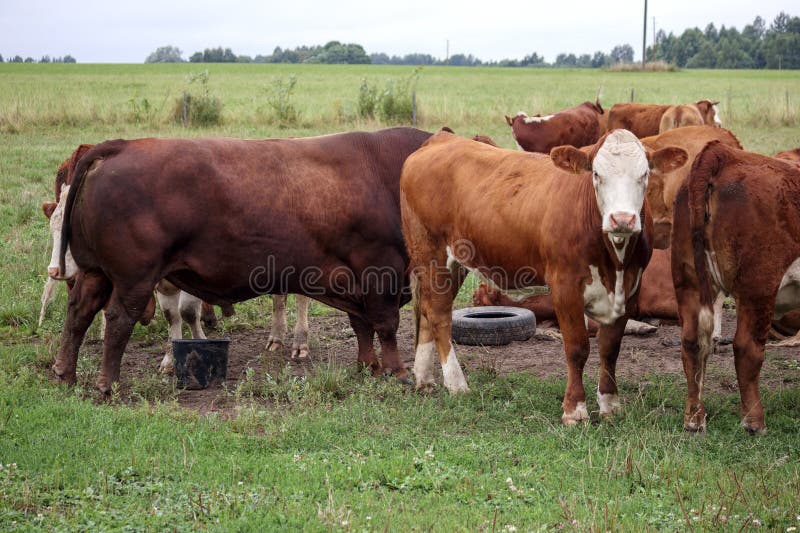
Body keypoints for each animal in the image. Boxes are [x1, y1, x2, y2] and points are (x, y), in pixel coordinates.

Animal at [52, 128, 432, 393]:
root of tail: (121, 145)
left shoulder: (354, 279)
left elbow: (362, 325)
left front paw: (369, 367)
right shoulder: (381, 270)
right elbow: (385, 324)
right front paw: (399, 371)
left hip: (94, 271)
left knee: (79, 311)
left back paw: (64, 373)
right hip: (134, 278)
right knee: (117, 319)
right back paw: (108, 384)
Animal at [400, 129, 687, 424]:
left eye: (644, 174)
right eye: (596, 174)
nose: (622, 219)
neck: (614, 264)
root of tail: (441, 139)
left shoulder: (630, 289)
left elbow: (610, 348)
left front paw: (610, 405)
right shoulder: (565, 287)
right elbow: (577, 348)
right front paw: (575, 410)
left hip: (453, 263)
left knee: (427, 310)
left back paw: (424, 378)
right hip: (431, 254)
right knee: (439, 314)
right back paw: (456, 383)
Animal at [671, 140, 800, 434]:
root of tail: (723, 154)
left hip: (688, 279)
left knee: (692, 342)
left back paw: (694, 418)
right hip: (759, 285)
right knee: (746, 348)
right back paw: (754, 422)